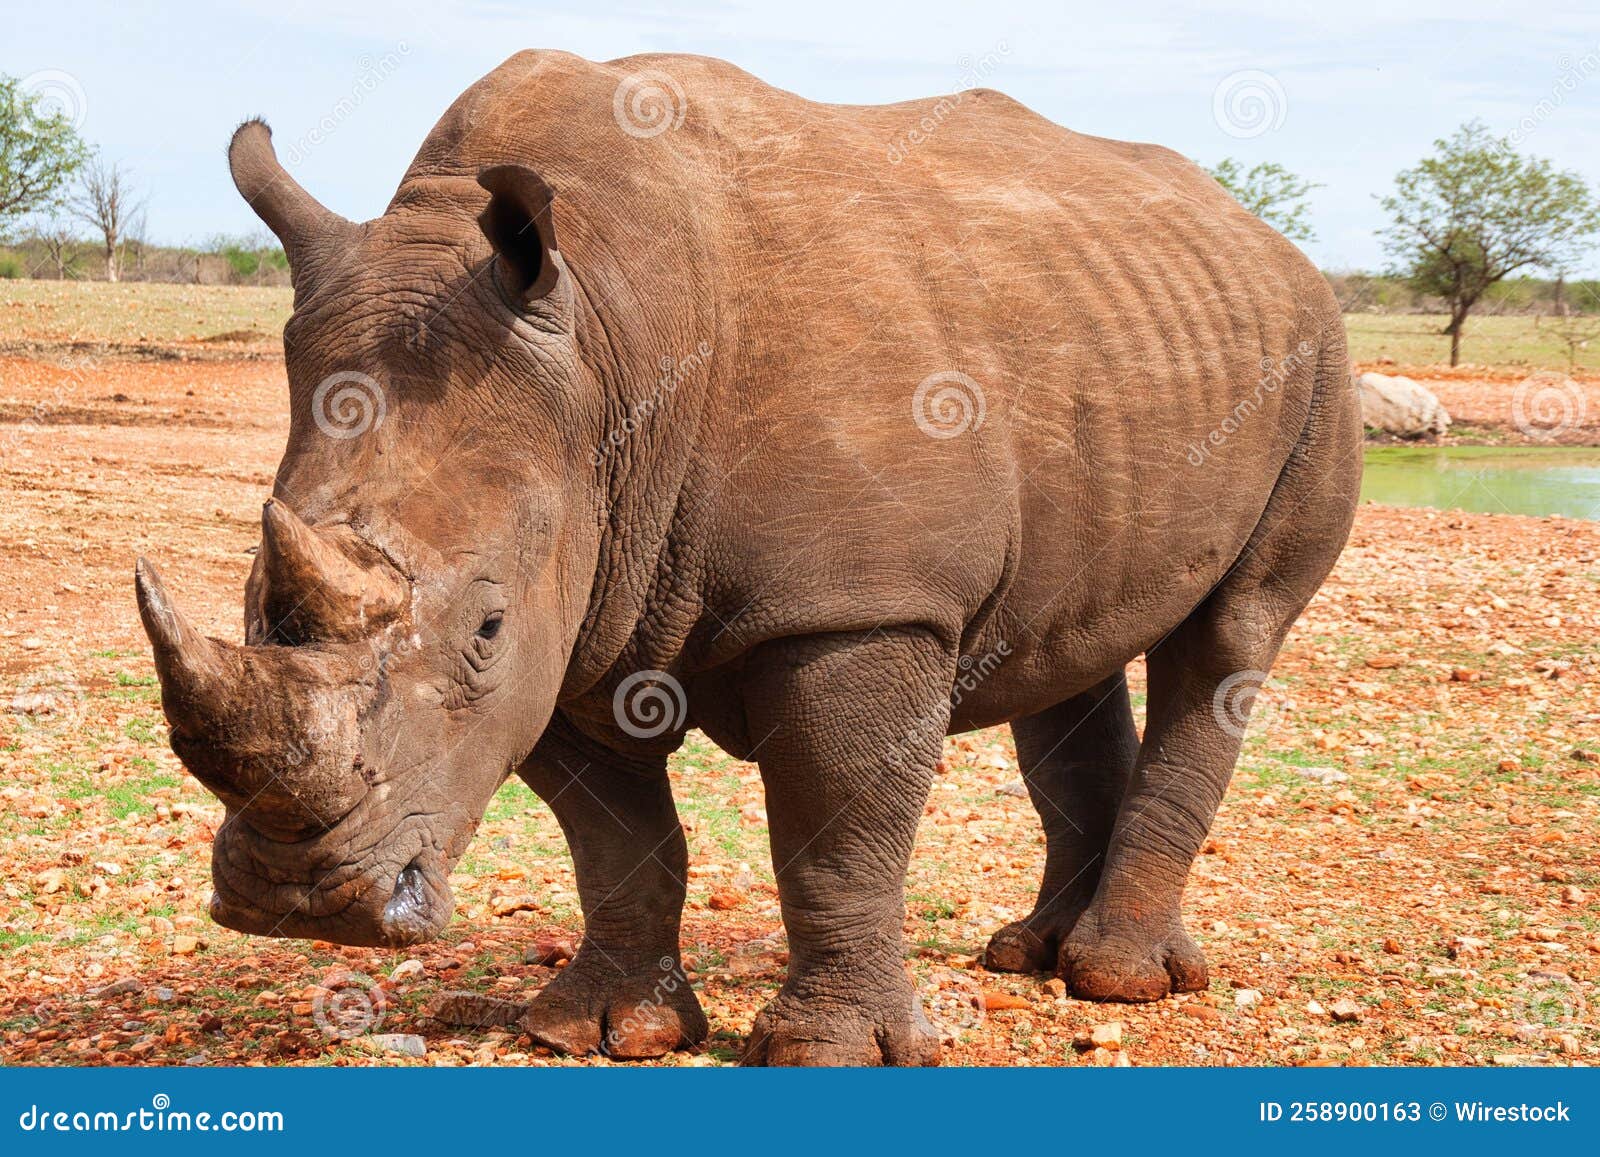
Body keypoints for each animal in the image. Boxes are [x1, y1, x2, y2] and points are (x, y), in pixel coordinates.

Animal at [134, 50, 1360, 1065]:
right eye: (252, 599)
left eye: (482, 626)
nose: (302, 902)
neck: (607, 343)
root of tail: (1260, 232)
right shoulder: (575, 603)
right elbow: (616, 837)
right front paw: (599, 1032)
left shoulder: (856, 601)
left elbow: (835, 827)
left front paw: (833, 1052)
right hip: (1118, 329)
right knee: (1065, 650)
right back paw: (1030, 955)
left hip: (1316, 354)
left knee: (1234, 630)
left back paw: (1115, 983)